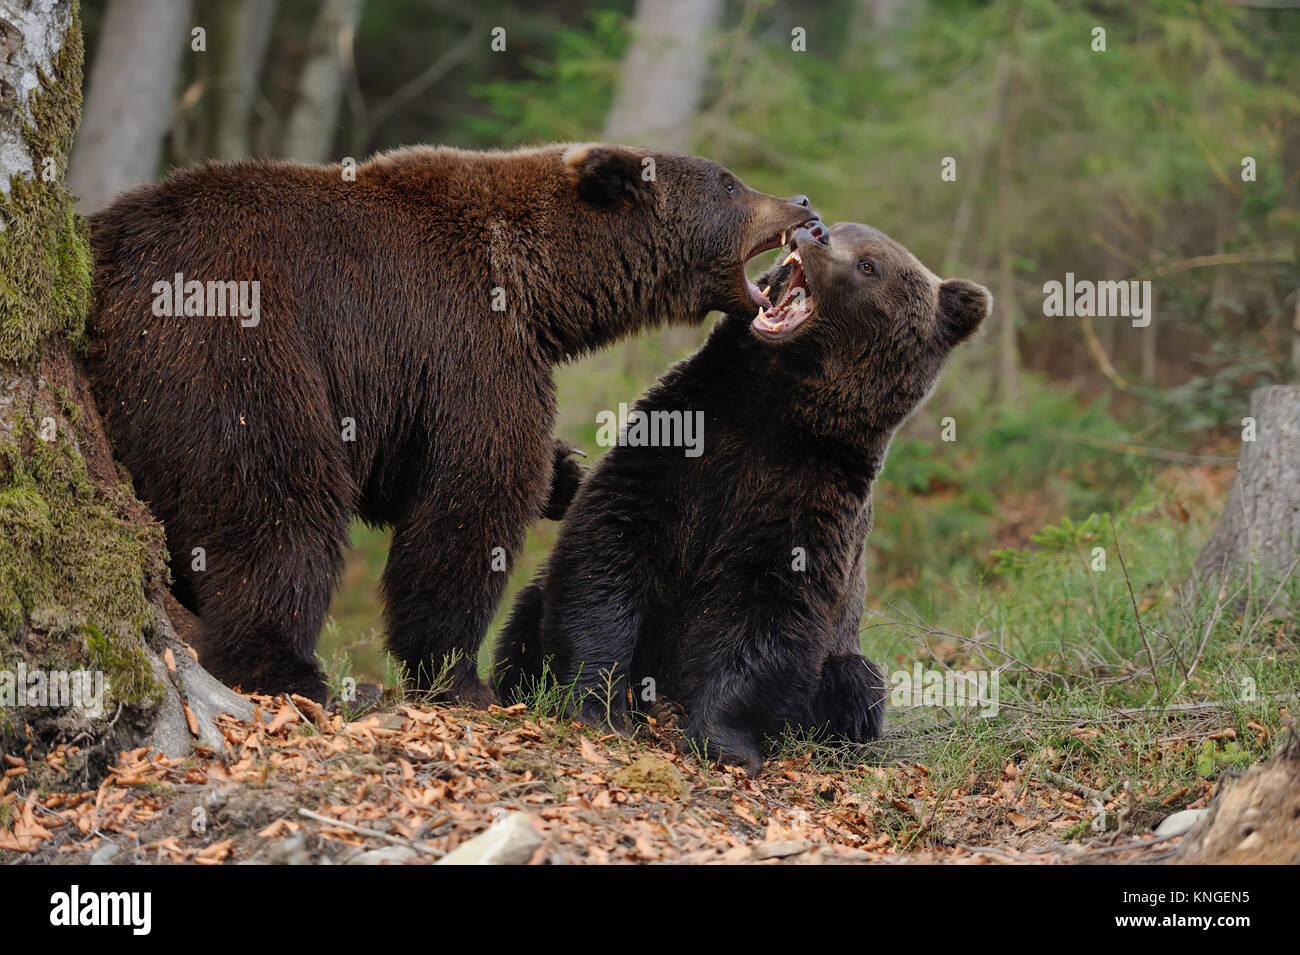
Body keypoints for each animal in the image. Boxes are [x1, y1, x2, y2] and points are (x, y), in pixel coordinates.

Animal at [86, 143, 818, 705]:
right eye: (729, 182)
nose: (805, 206)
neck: (541, 289)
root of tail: (105, 254)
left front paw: (565, 472)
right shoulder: (465, 342)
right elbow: (466, 504)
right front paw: (460, 676)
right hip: (227, 340)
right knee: (275, 496)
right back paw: (287, 667)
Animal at [494, 221, 991, 774]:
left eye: (869, 264)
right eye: (840, 229)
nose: (813, 232)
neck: (776, 404)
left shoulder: (809, 498)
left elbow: (769, 614)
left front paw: (720, 741)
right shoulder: (678, 442)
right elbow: (607, 551)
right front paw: (596, 701)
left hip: (840, 659)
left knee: (856, 681)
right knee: (528, 608)